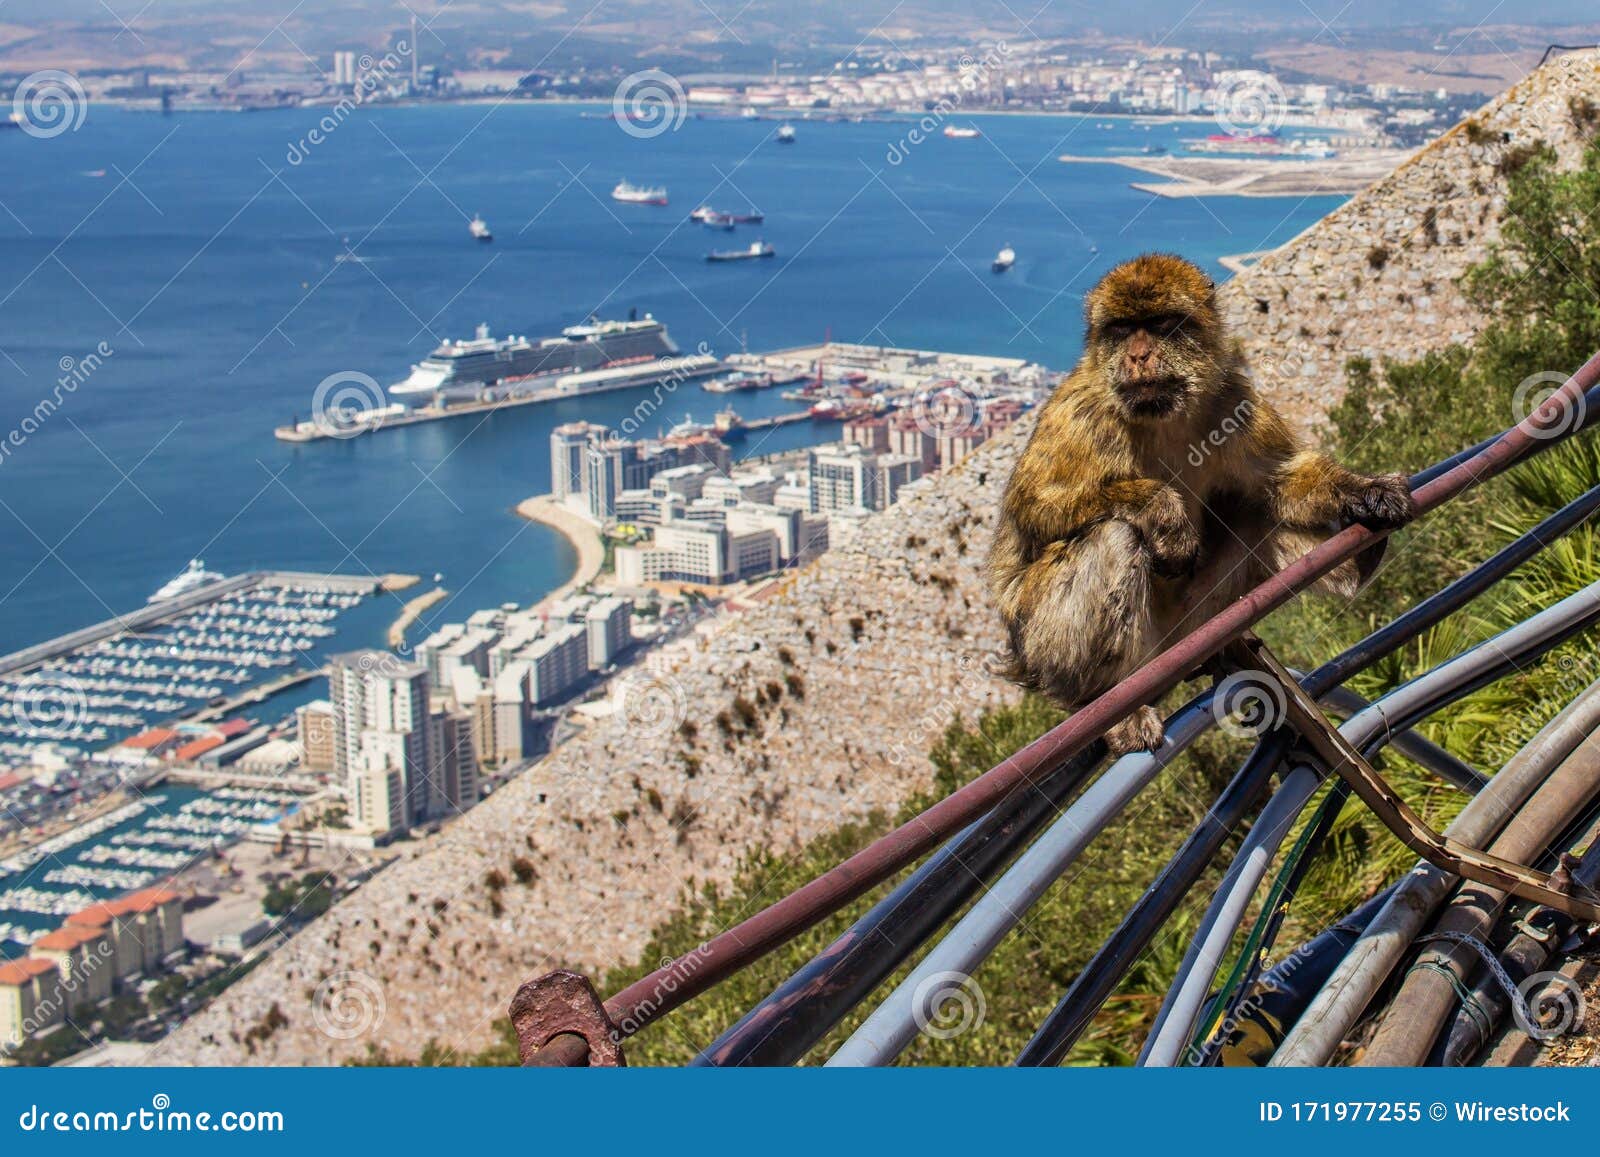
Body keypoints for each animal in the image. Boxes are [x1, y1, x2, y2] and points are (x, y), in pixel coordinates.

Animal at [987, 253, 1416, 755]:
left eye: (1160, 324)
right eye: (1121, 329)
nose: (1137, 356)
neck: (1164, 416)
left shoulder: (1235, 399)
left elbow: (1279, 480)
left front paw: (1365, 490)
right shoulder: (1079, 415)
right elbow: (1033, 509)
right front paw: (1163, 510)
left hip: (1196, 618)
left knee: (1253, 514)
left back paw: (1356, 566)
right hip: (1043, 640)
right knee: (1113, 534)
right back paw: (1105, 700)